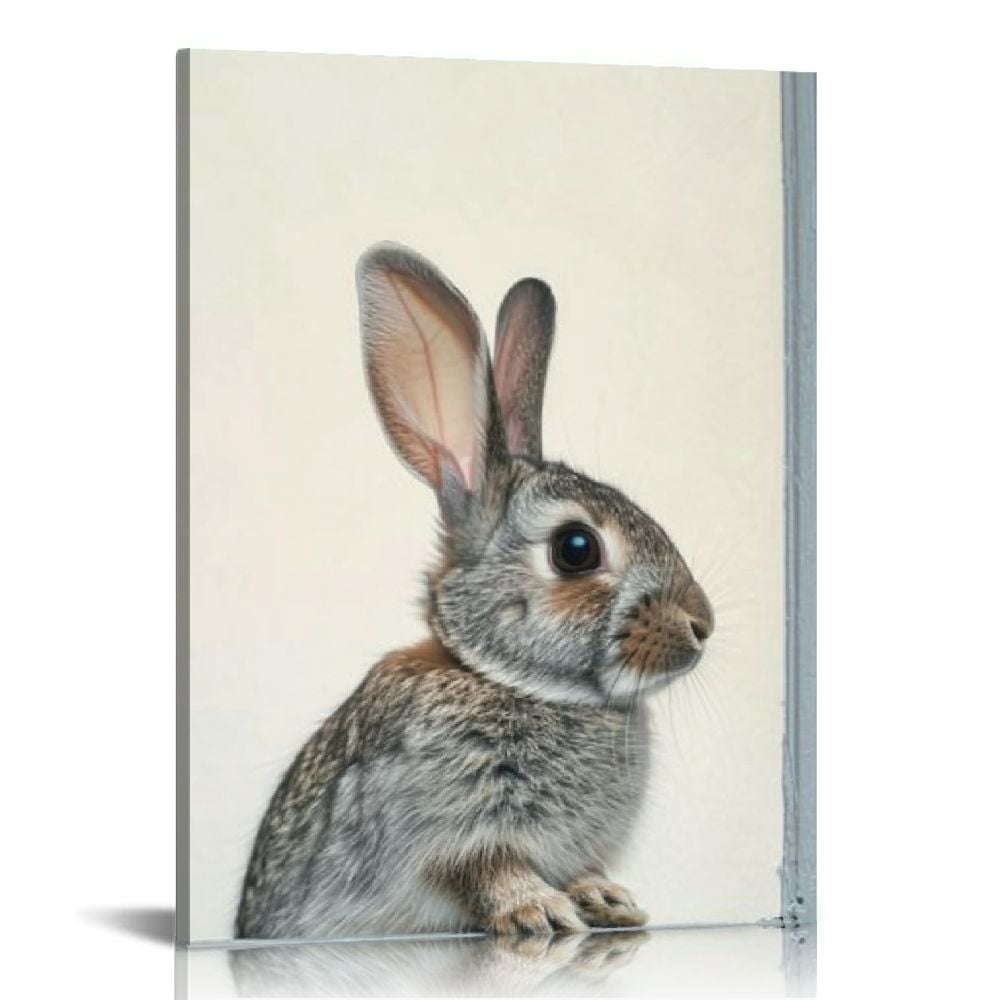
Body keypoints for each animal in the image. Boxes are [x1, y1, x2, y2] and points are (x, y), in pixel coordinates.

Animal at [234, 242, 714, 941]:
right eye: (576, 549)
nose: (701, 624)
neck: (504, 678)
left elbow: (580, 871)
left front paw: (608, 900)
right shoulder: (447, 830)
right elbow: (488, 871)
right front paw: (542, 911)